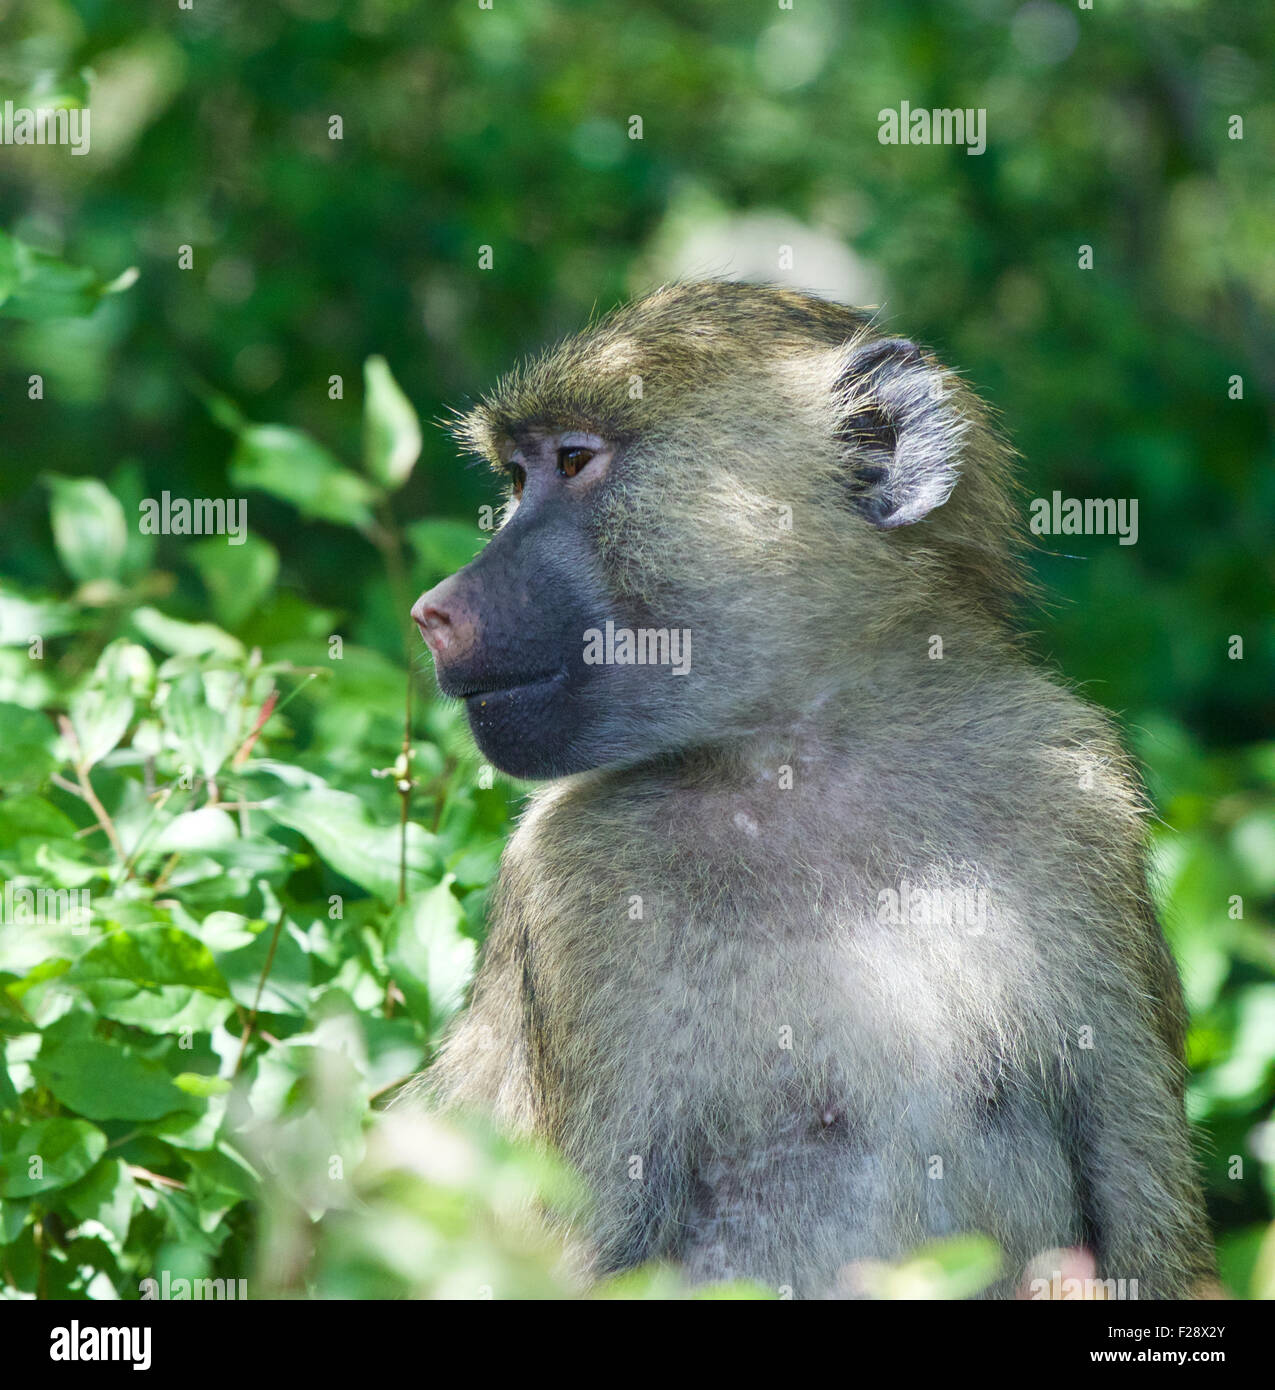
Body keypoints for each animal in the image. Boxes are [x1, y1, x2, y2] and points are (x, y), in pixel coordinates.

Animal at [402, 281, 1215, 1298]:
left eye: (574, 462)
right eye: (516, 477)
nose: (433, 612)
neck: (805, 758)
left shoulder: (1075, 789)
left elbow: (1147, 1230)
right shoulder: (566, 881)